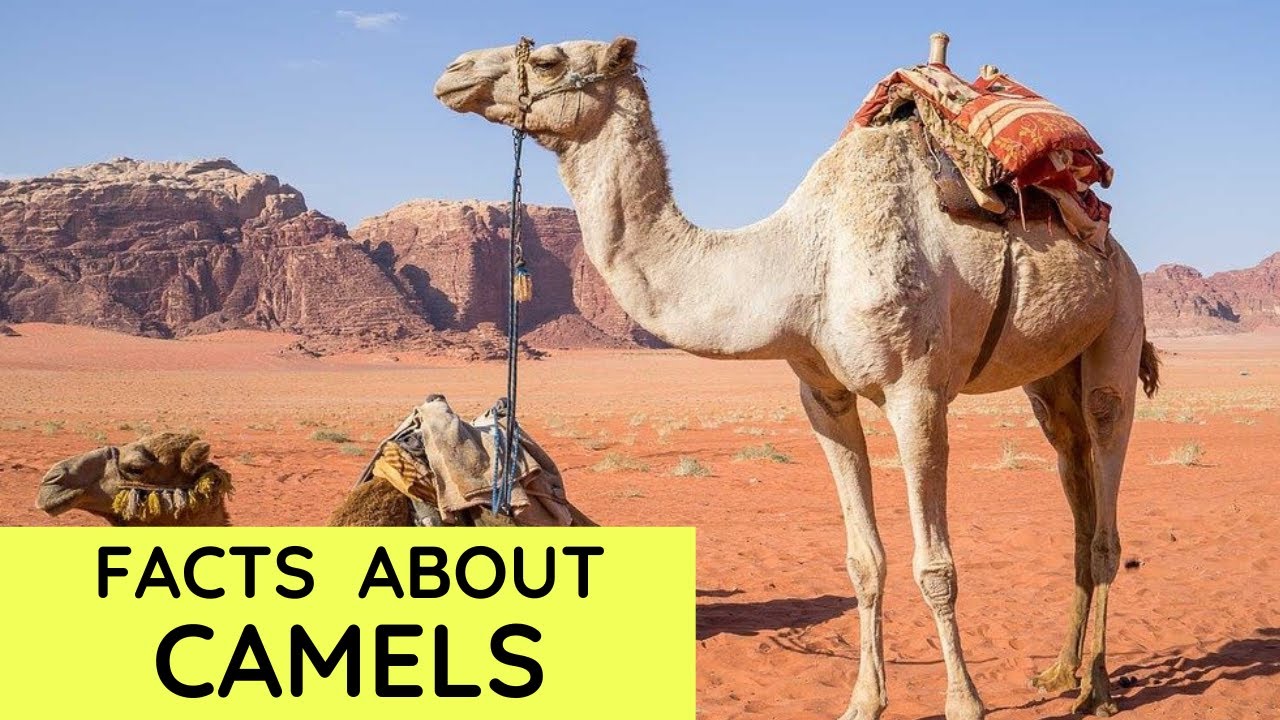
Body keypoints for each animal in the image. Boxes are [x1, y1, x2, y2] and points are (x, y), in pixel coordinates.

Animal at [434, 36, 1159, 719]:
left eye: (550, 61)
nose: (453, 71)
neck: (798, 264)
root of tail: (1112, 244)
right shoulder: (823, 397)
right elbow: (864, 562)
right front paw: (865, 700)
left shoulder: (916, 393)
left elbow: (935, 565)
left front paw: (963, 703)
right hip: (1049, 376)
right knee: (1073, 480)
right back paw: (1058, 673)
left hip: (1119, 322)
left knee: (1104, 497)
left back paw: (1096, 687)